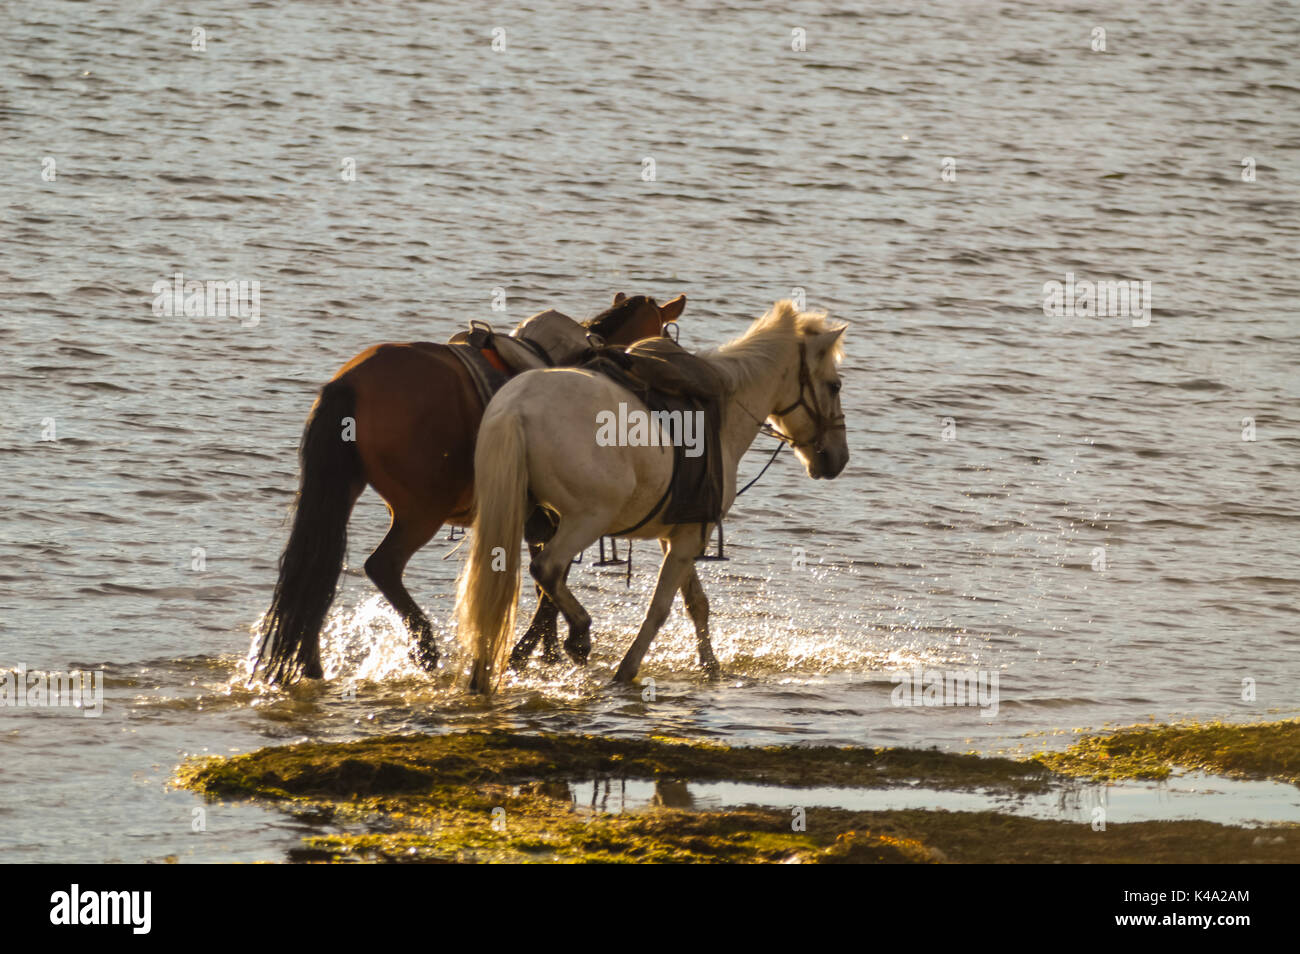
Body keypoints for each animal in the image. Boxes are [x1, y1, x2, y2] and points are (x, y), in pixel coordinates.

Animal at [253, 292, 686, 684]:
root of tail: (349, 383)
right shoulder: (553, 519)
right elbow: (548, 587)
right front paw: (533, 652)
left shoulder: (538, 522)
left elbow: (546, 587)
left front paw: (541, 652)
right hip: (422, 511)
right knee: (382, 566)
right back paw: (425, 649)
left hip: (348, 493)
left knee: (317, 568)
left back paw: (311, 662)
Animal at [456, 299, 849, 694]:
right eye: (834, 386)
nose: (838, 458)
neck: (725, 404)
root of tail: (516, 409)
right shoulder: (690, 537)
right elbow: (661, 608)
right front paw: (627, 669)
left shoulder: (679, 531)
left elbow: (696, 602)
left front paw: (711, 666)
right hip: (586, 519)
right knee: (546, 570)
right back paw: (579, 634)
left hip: (513, 514)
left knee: (498, 589)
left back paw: (486, 669)